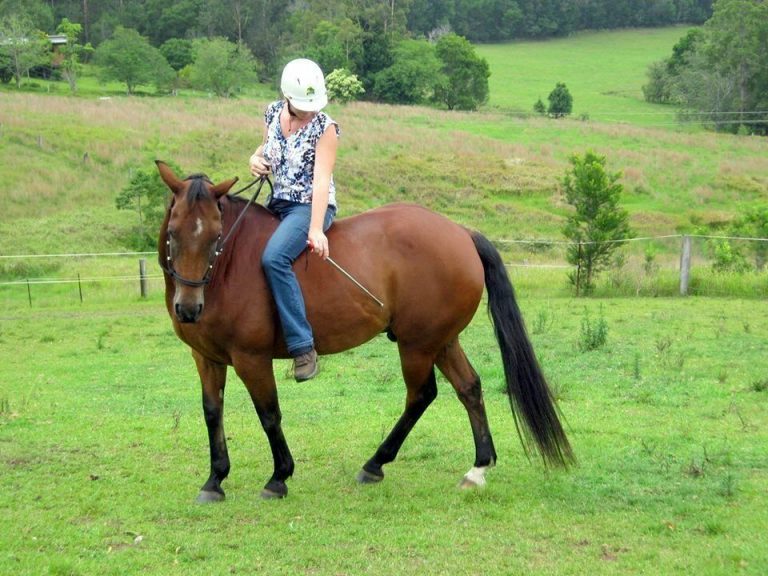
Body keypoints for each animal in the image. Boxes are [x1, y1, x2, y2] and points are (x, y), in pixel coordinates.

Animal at [155, 160, 573, 502]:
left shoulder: (251, 359)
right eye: (174, 232)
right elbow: (212, 412)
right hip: (442, 341)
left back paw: (375, 463)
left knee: (421, 395)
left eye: (216, 236)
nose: (189, 308)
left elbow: (269, 413)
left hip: (417, 345)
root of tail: (460, 232)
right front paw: (215, 480)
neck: (226, 268)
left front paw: (279, 477)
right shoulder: (206, 357)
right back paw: (478, 468)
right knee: (469, 387)